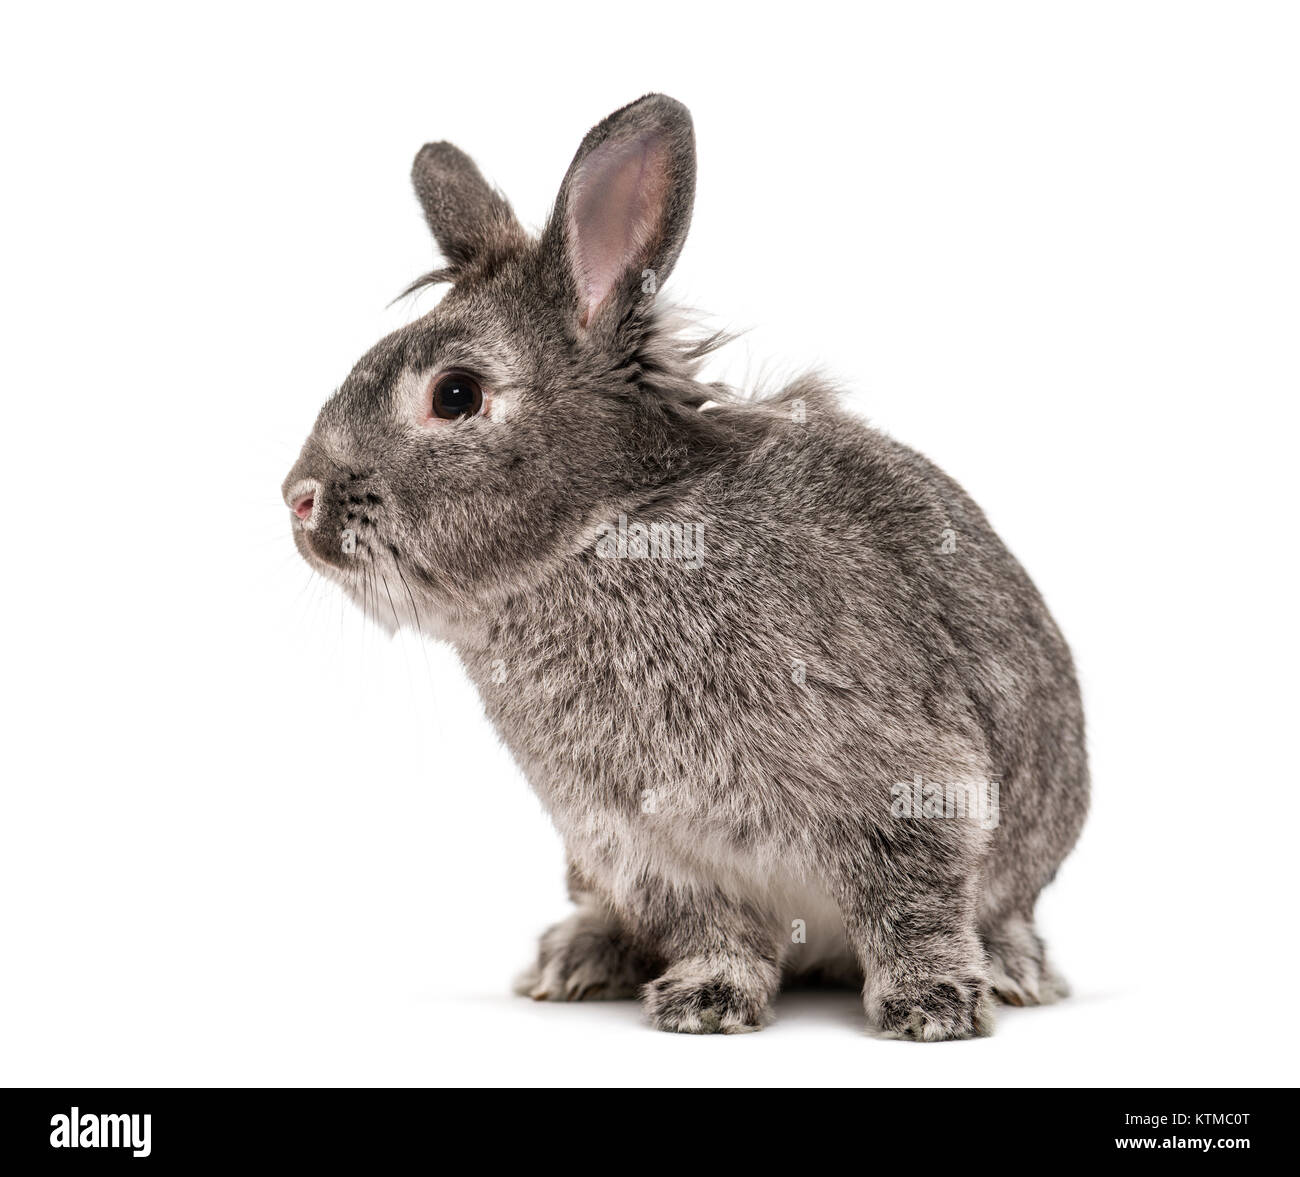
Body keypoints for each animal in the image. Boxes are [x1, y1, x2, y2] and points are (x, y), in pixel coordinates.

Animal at [282, 94, 1088, 1040]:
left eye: (455, 395)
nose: (298, 499)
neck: (608, 534)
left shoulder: (912, 789)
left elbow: (912, 904)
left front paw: (932, 1007)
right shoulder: (647, 847)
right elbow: (711, 926)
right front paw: (707, 1000)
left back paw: (1012, 967)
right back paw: (577, 958)